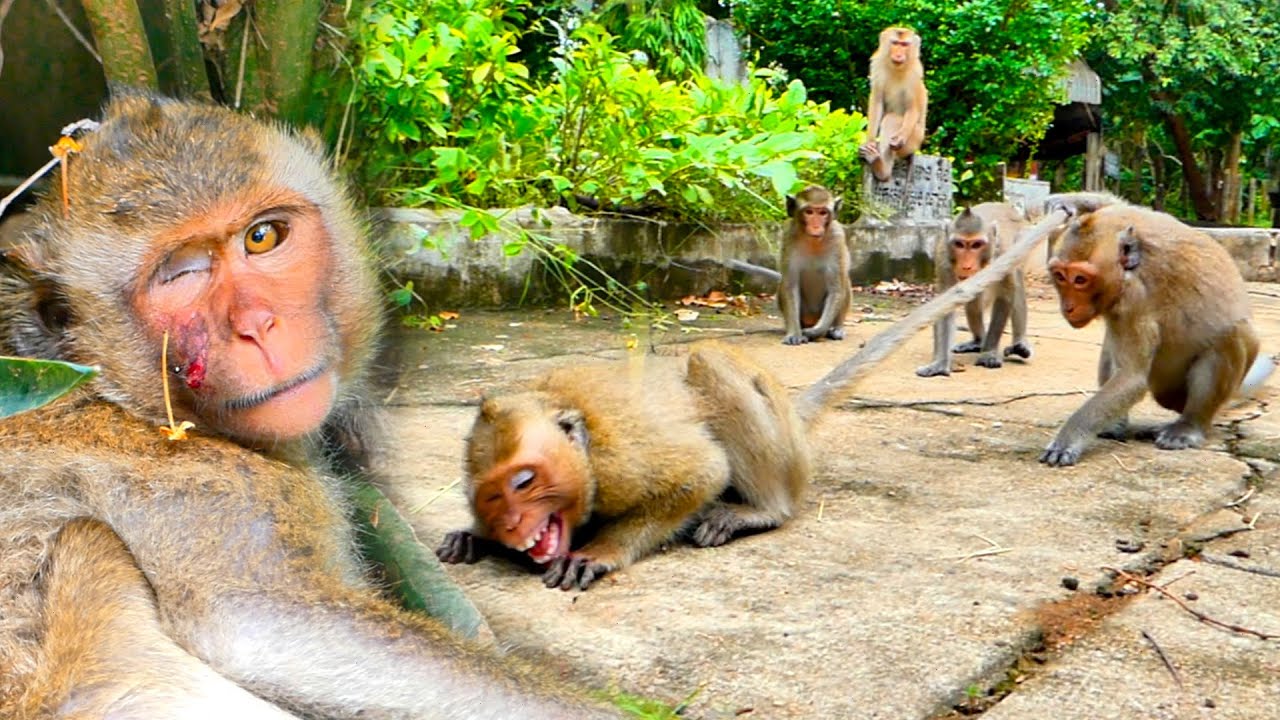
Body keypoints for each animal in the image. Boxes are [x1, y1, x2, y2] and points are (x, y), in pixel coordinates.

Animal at [0, 94, 621, 718]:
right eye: (180, 276)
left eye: (262, 237)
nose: (257, 326)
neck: (128, 402)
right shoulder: (203, 485)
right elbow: (263, 622)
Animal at [777, 185, 852, 345]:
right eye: (809, 212)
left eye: (823, 213)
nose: (816, 226)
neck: (813, 241)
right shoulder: (788, 237)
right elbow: (790, 287)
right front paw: (794, 333)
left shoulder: (837, 238)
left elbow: (836, 290)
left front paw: (816, 332)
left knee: (845, 282)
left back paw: (836, 329)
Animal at [860, 26, 928, 183]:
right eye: (895, 43)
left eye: (904, 45)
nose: (898, 54)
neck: (897, 68)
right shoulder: (876, 65)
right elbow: (877, 101)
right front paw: (870, 141)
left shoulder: (915, 73)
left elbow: (912, 108)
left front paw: (901, 137)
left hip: (914, 140)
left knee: (892, 119)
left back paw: (882, 170)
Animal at [917, 203, 1032, 377]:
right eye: (959, 244)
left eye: (977, 245)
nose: (966, 266)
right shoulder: (943, 256)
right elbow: (946, 303)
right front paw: (941, 364)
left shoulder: (1004, 253)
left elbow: (1005, 295)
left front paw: (989, 353)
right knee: (973, 301)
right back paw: (977, 342)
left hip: (1022, 241)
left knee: (1016, 282)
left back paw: (1019, 343)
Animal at [1038, 192, 1273, 467]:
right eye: (1060, 276)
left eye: (1080, 280)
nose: (1068, 307)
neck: (1131, 268)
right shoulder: (1121, 217)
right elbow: (1119, 203)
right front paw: (1066, 202)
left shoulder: (1134, 301)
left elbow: (1132, 378)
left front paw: (1068, 438)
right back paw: (1116, 424)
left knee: (1232, 337)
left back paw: (1188, 427)